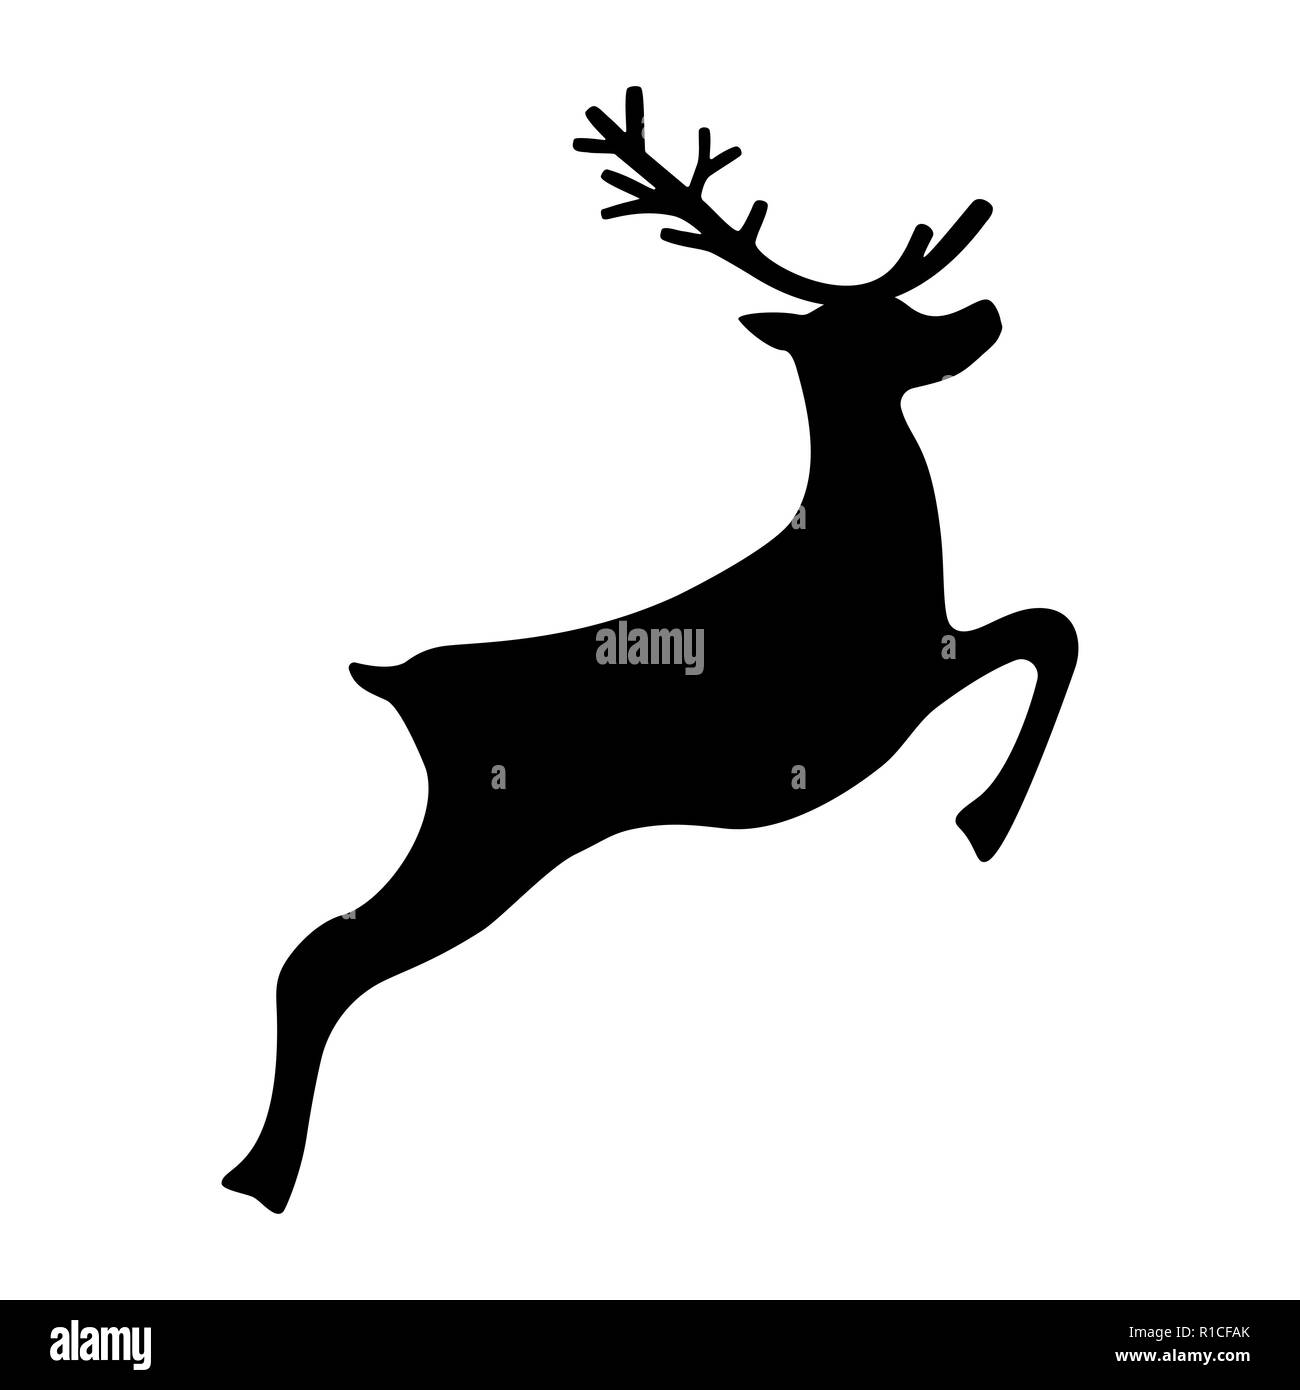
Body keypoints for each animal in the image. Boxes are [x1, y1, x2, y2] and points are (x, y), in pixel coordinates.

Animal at [223, 87, 1077, 1212]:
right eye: (878, 324)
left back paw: (251, 1170)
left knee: (319, 947)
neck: (881, 560)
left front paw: (983, 815)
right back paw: (265, 1176)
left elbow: (1048, 632)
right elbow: (1051, 632)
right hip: (484, 835)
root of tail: (394, 685)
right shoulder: (900, 679)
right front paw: (983, 821)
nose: (983, 315)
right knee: (324, 955)